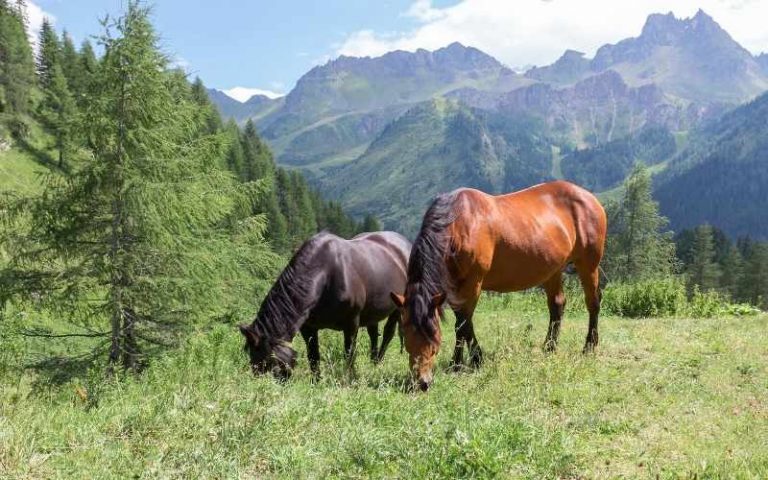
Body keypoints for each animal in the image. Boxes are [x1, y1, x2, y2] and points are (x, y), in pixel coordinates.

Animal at [240, 230, 411, 380]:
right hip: (372, 311)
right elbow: (313, 355)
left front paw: (348, 378)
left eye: (268, 360)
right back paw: (373, 361)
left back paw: (378, 362)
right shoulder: (308, 327)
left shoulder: (351, 323)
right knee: (373, 333)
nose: (264, 384)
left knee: (388, 334)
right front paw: (316, 380)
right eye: (252, 360)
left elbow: (349, 353)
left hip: (397, 306)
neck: (326, 275)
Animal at [390, 181, 607, 391]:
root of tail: (590, 198)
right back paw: (549, 347)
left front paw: (468, 361)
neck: (458, 224)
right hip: (553, 269)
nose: (421, 382)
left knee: (593, 302)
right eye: (406, 337)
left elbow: (463, 324)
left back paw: (589, 346)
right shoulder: (452, 290)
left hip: (588, 264)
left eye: (434, 336)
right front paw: (463, 361)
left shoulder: (473, 284)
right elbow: (462, 323)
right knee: (557, 304)